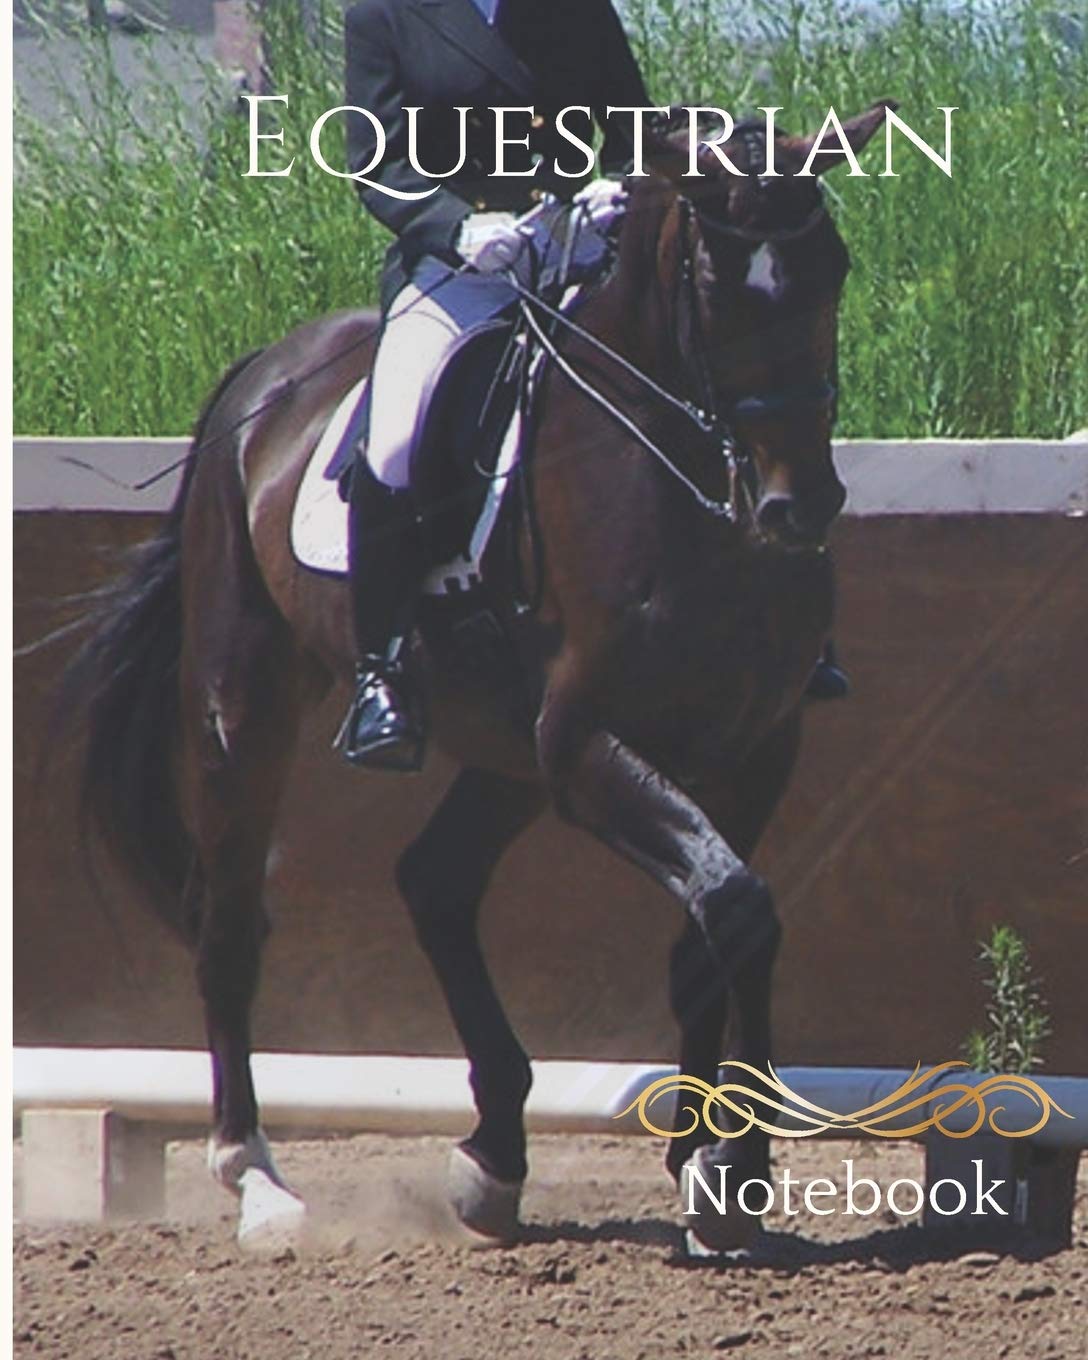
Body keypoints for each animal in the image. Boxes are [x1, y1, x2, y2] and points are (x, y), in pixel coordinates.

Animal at [63, 102, 891, 1252]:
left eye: (833, 268)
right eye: (716, 284)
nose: (798, 506)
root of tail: (270, 371)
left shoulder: (754, 744)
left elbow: (713, 931)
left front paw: (700, 1166)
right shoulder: (583, 745)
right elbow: (734, 907)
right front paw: (734, 1170)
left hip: (502, 751)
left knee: (435, 882)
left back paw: (493, 1155)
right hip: (246, 699)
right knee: (229, 918)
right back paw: (259, 1180)